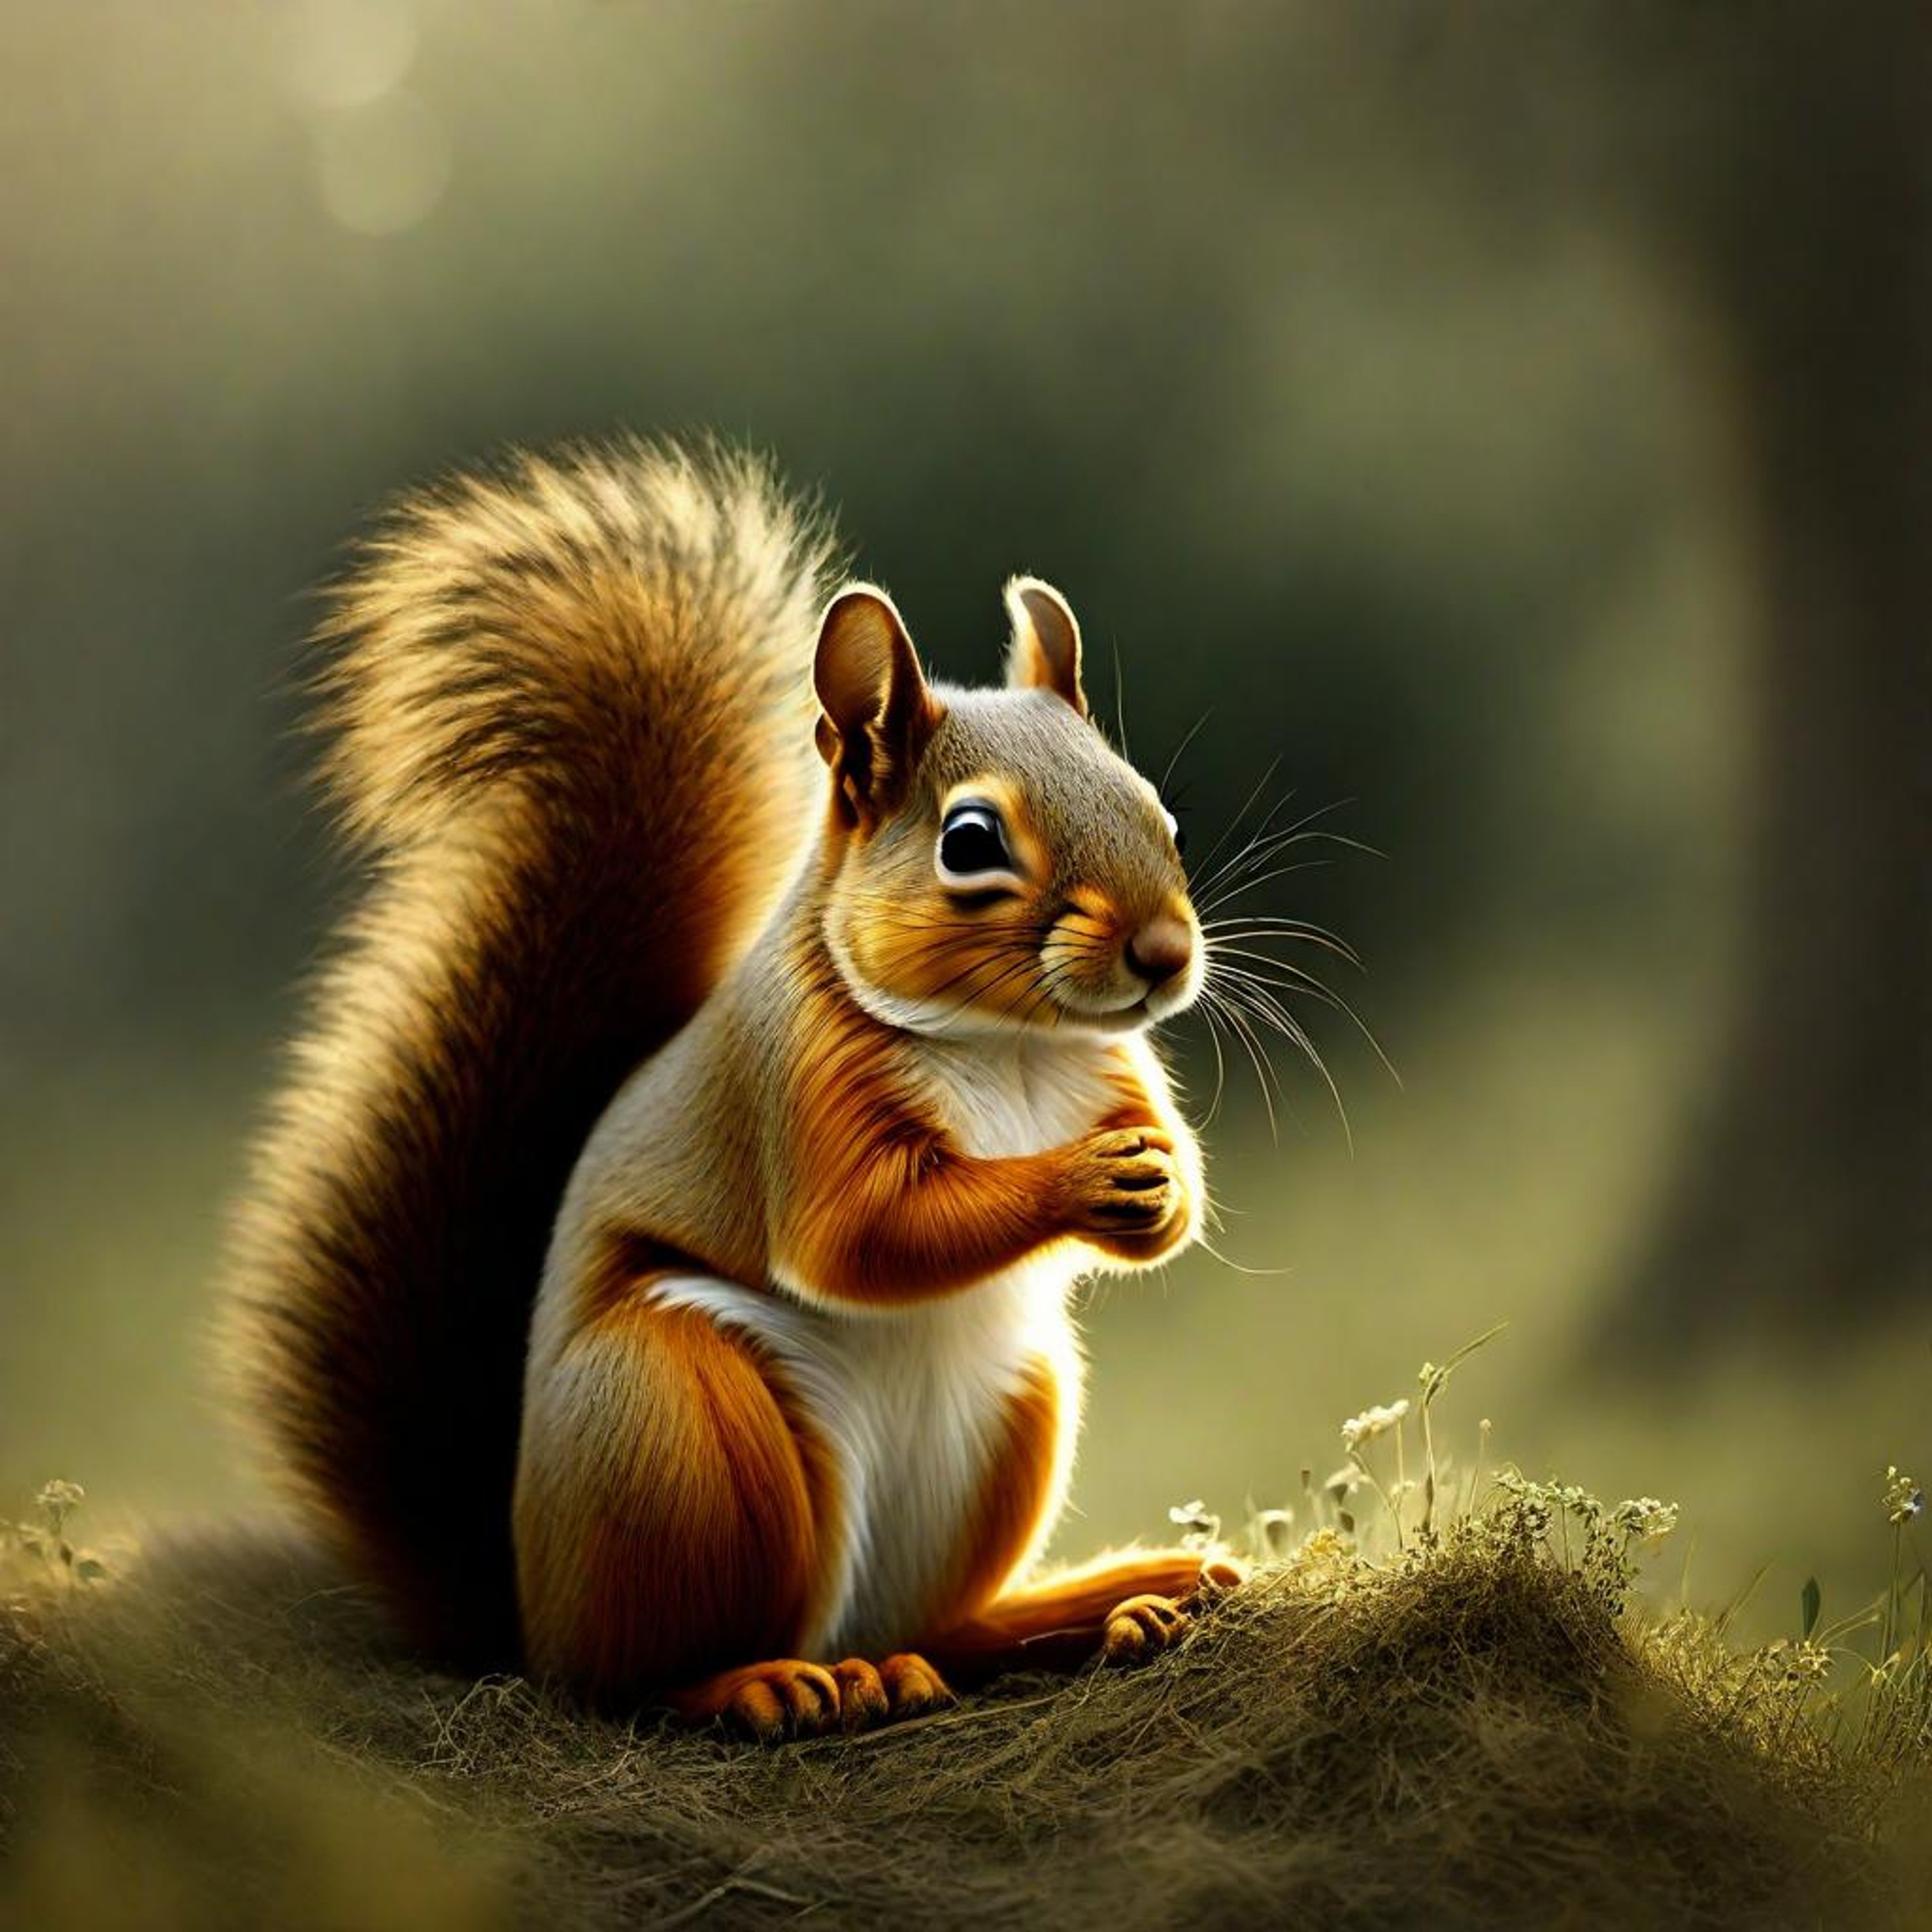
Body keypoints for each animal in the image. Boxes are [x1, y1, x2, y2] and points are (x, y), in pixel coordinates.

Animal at [226, 436, 1237, 1739]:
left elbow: (1168, 1190)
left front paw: (1154, 1194)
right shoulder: (795, 1093)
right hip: (681, 1430)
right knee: (640, 1677)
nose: (1166, 954)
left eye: (1159, 812)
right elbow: (862, 1236)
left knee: (943, 1627)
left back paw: (1113, 1603)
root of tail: (529, 1613)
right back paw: (774, 1681)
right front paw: (1074, 1182)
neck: (1009, 1048)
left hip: (1016, 1410)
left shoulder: (1113, 1069)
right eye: (969, 844)